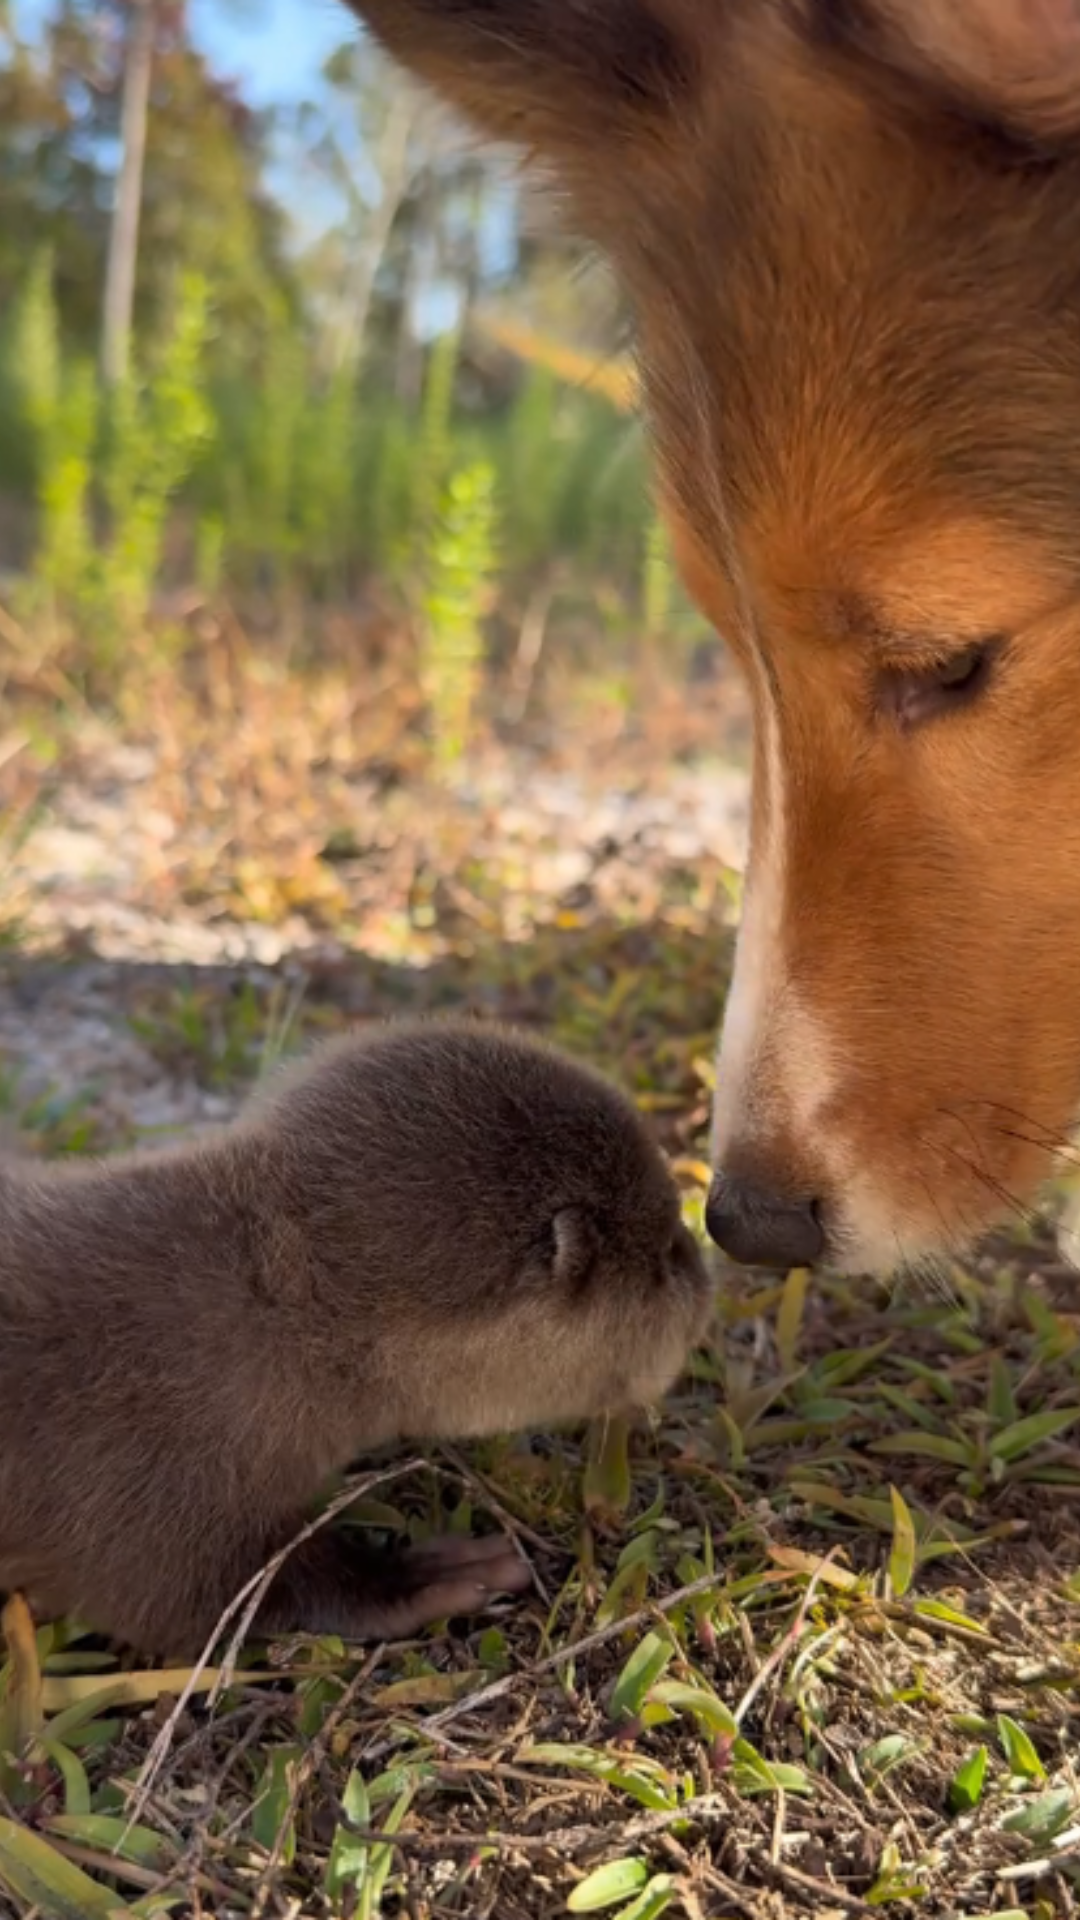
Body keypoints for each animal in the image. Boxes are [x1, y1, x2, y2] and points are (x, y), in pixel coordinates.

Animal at [0, 1017, 711, 1657]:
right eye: (665, 1254)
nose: (705, 1271)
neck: (266, 1319)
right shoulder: (140, 1488)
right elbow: (190, 1600)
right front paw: (423, 1575)